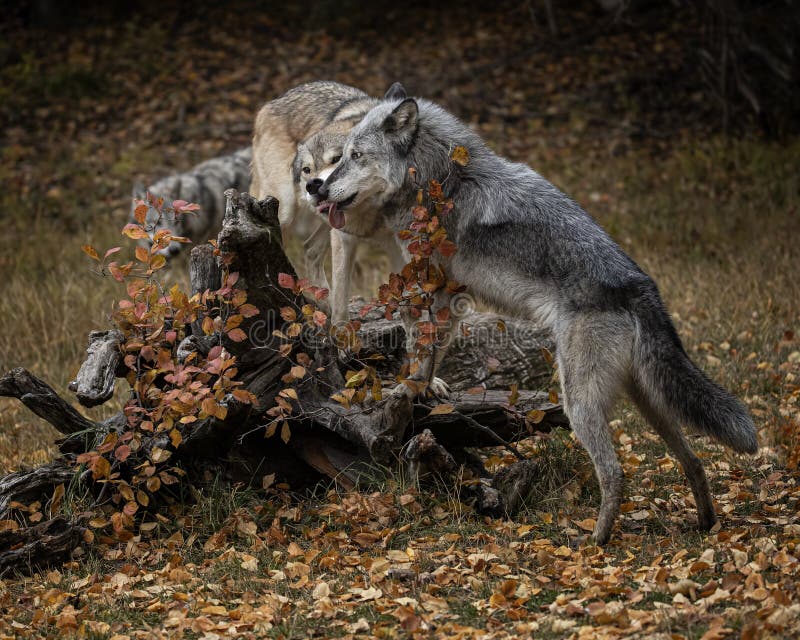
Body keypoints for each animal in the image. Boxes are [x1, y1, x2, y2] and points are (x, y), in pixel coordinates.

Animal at [312, 96, 758, 544]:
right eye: (341, 155)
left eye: (354, 156)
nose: (317, 187)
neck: (443, 178)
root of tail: (641, 286)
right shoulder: (452, 291)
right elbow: (432, 346)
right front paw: (430, 387)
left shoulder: (434, 284)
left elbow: (420, 346)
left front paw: (410, 387)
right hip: (649, 402)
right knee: (693, 459)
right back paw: (706, 524)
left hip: (580, 403)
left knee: (614, 472)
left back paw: (594, 542)